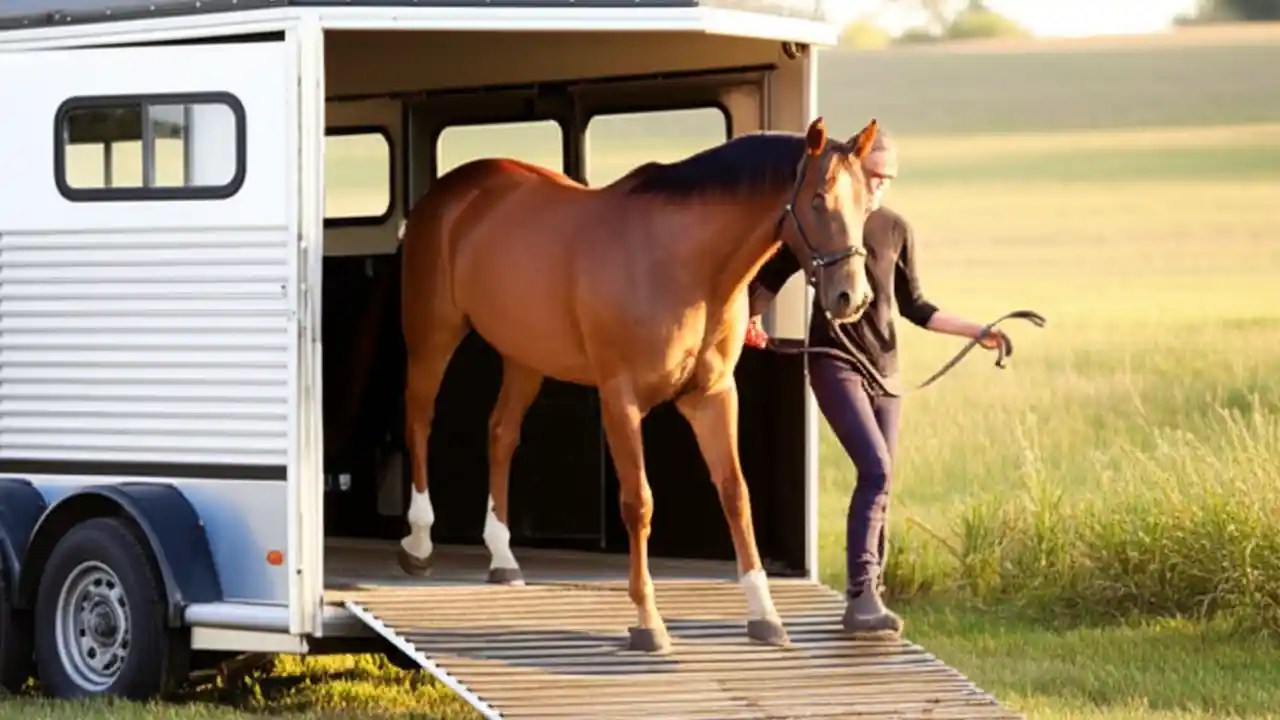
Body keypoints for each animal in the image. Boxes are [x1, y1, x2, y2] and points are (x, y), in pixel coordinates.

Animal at [395, 116, 881, 652]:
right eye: (817, 199)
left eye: (867, 203)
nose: (852, 298)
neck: (682, 264)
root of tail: (449, 194)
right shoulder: (620, 397)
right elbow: (639, 503)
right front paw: (648, 620)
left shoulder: (712, 396)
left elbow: (736, 494)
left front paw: (765, 614)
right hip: (433, 336)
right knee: (419, 418)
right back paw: (418, 543)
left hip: (523, 357)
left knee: (500, 433)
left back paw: (503, 558)